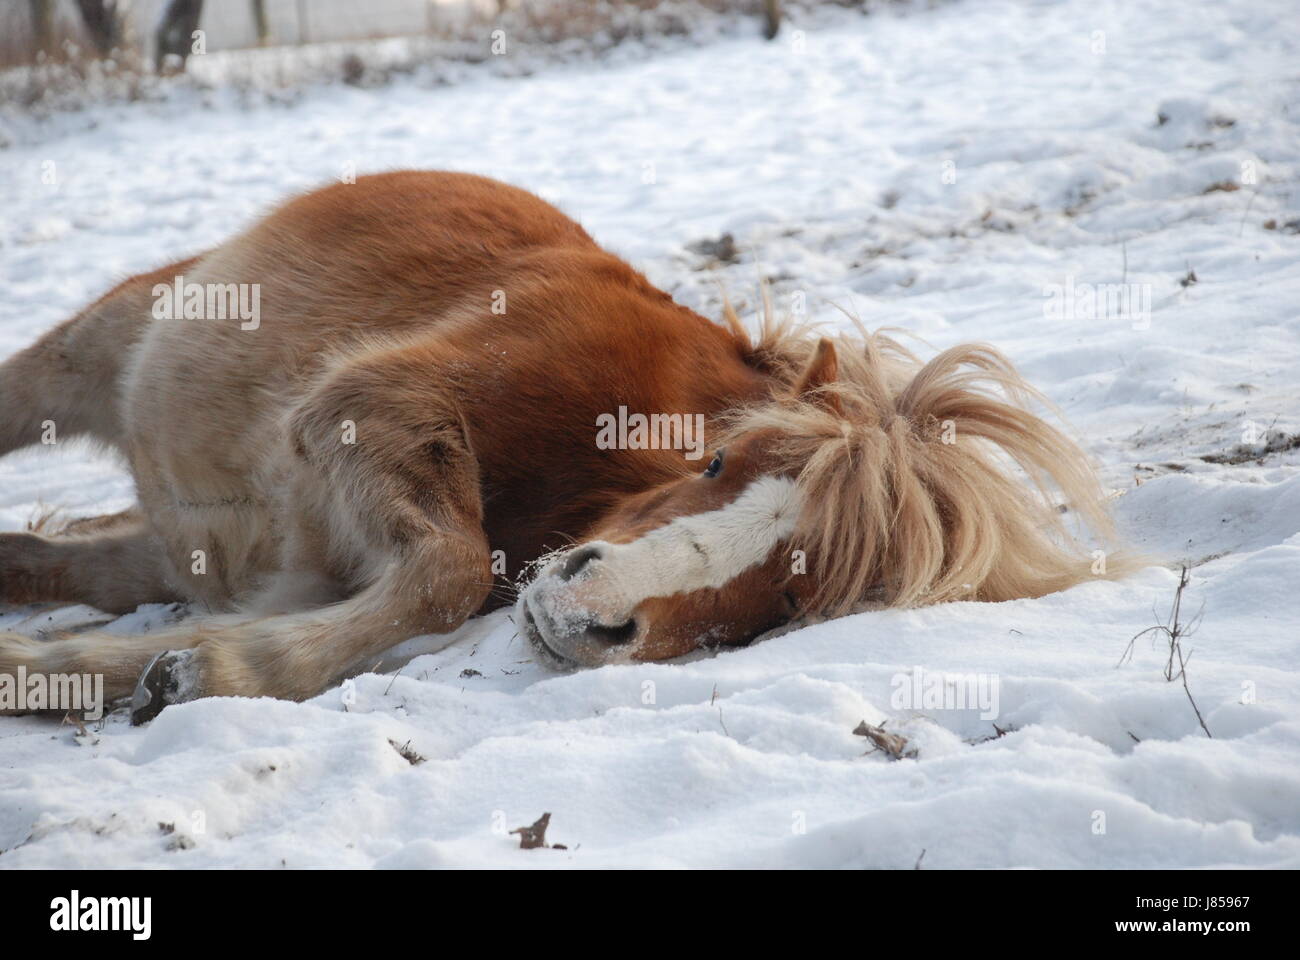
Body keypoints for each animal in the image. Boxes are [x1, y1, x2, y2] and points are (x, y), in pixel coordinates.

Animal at [0, 170, 1121, 723]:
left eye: (798, 590)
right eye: (717, 465)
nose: (590, 615)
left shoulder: (294, 576)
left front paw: (151, 672)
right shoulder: (367, 403)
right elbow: (451, 570)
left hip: (172, 542)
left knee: (50, 556)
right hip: (90, 349)